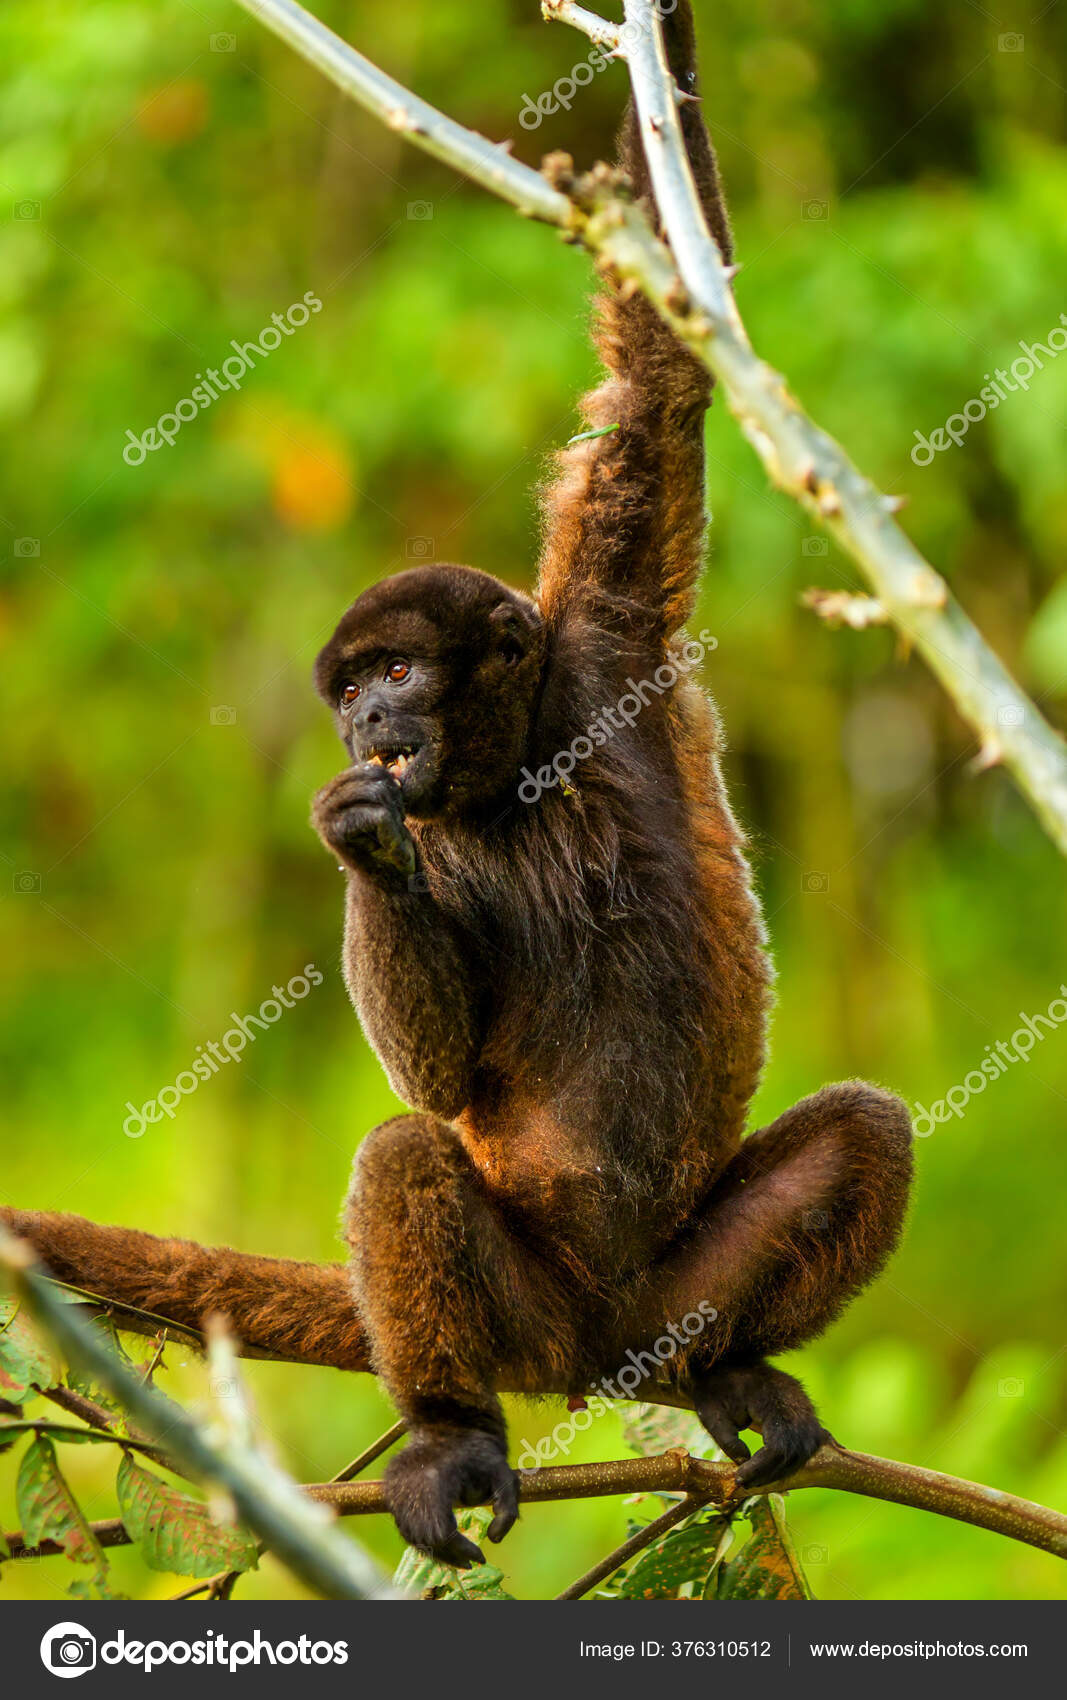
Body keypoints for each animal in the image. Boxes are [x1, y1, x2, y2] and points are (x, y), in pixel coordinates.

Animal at [1, 1, 912, 1570]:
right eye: (350, 692)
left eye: (395, 671)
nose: (367, 718)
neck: (505, 780)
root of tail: (603, 1344)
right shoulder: (446, 810)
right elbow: (431, 1077)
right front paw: (353, 846)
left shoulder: (608, 637)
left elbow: (655, 377)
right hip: (524, 1309)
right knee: (402, 1161)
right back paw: (445, 1430)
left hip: (683, 1281)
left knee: (863, 1130)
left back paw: (728, 1369)